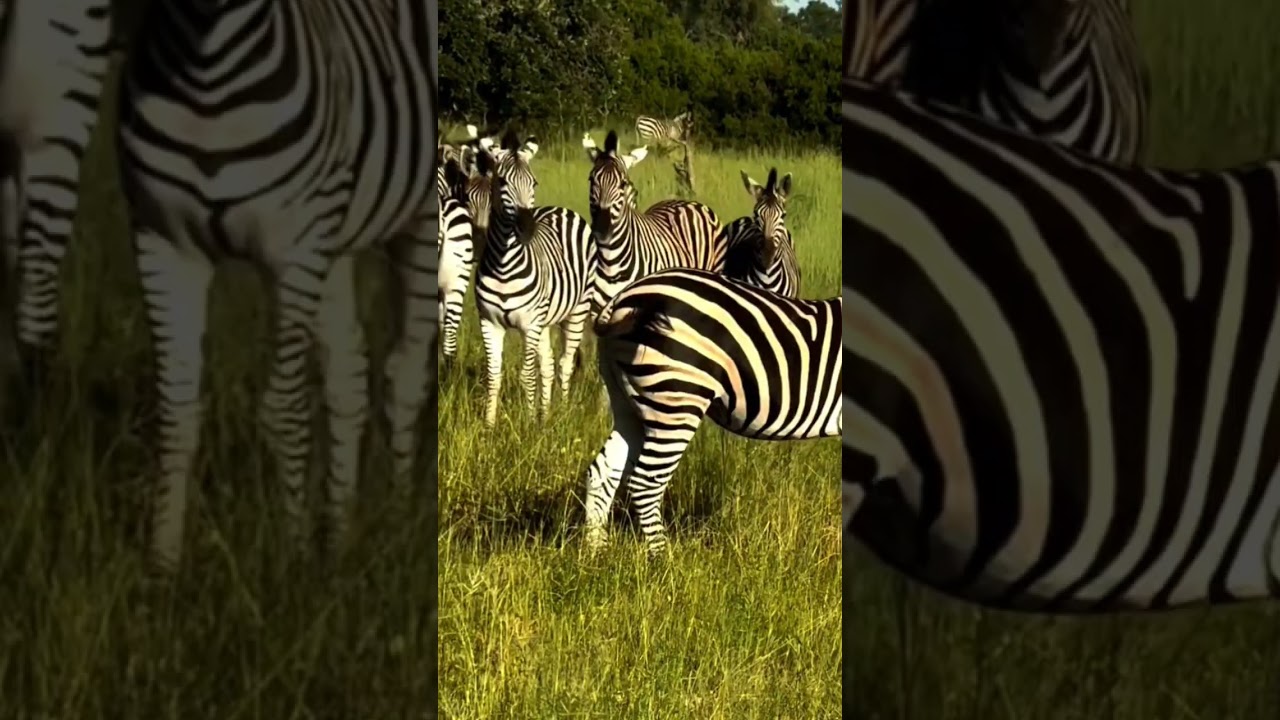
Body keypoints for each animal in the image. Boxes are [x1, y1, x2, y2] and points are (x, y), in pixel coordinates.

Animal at [117, 0, 439, 571]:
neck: (207, 71)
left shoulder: (297, 247)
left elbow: (285, 411)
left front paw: (292, 563)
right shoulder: (161, 242)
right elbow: (175, 410)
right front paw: (162, 567)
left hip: (415, 217)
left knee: (403, 377)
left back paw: (399, 526)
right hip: (337, 238)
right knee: (349, 374)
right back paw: (338, 537)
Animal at [474, 132, 594, 427]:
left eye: (534, 183)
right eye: (502, 182)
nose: (527, 230)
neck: (504, 267)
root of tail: (562, 209)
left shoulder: (529, 324)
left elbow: (527, 375)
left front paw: (527, 426)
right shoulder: (489, 322)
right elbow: (493, 375)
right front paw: (489, 426)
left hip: (576, 311)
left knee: (564, 364)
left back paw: (562, 413)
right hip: (545, 320)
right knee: (549, 365)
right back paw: (545, 416)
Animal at [585, 268, 841, 555]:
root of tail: (623, 297)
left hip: (628, 405)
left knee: (602, 472)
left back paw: (596, 552)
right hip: (677, 400)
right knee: (645, 484)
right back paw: (663, 558)